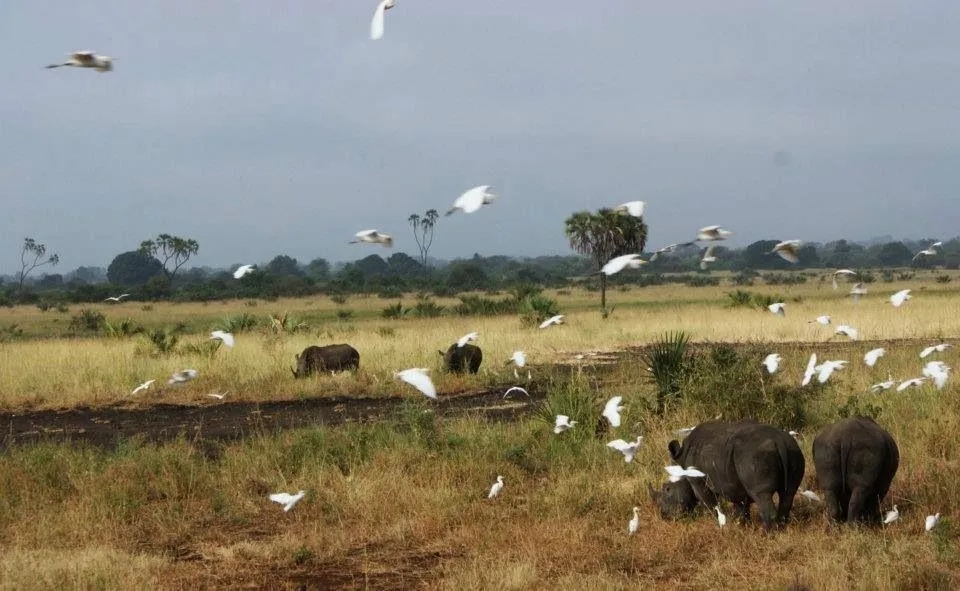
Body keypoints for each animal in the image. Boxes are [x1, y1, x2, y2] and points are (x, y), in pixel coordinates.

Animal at [649, 419, 805, 532]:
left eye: (667, 489)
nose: (664, 516)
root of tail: (779, 442)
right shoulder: (732, 482)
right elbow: (741, 505)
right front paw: (742, 526)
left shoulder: (698, 481)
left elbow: (711, 504)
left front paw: (719, 524)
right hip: (793, 449)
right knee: (788, 494)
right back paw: (781, 529)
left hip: (754, 456)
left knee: (762, 495)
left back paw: (766, 534)